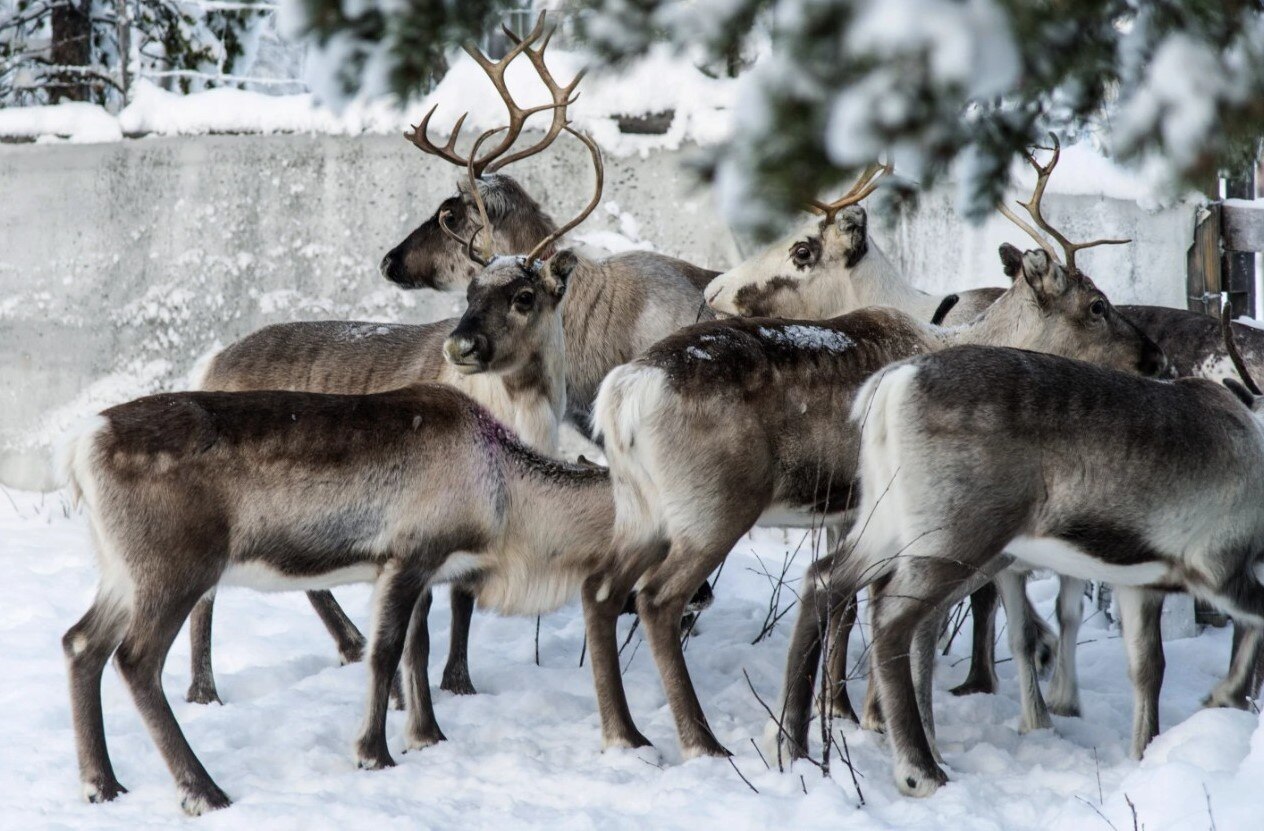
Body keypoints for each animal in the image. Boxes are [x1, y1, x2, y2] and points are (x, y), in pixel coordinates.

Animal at [59, 378, 676, 815]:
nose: (693, 599)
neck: (507, 500)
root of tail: (81, 447)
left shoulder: (415, 571)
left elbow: (416, 652)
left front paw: (427, 736)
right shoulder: (409, 556)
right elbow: (384, 653)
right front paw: (374, 753)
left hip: (120, 572)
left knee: (80, 643)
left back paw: (102, 784)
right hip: (175, 569)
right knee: (135, 660)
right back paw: (203, 792)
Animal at [182, 119, 603, 708]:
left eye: (524, 295)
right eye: (469, 291)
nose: (461, 345)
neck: (523, 414)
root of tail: (211, 363)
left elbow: (464, 596)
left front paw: (459, 683)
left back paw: (351, 644)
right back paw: (205, 691)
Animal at [588, 239, 1167, 759]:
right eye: (1097, 305)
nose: (1156, 357)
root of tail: (622, 391)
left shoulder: (849, 514)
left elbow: (848, 607)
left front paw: (844, 710)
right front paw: (873, 716)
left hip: (640, 511)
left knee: (600, 587)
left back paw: (626, 734)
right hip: (713, 510)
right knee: (656, 599)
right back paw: (700, 742)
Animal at [792, 306, 1264, 798]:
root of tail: (892, 383)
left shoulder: (1141, 582)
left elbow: (1148, 668)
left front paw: (1145, 751)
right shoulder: (1220, 568)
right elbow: (1254, 623)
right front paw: (1225, 696)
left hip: (885, 522)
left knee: (825, 579)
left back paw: (792, 743)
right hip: (956, 538)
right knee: (894, 618)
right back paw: (919, 769)